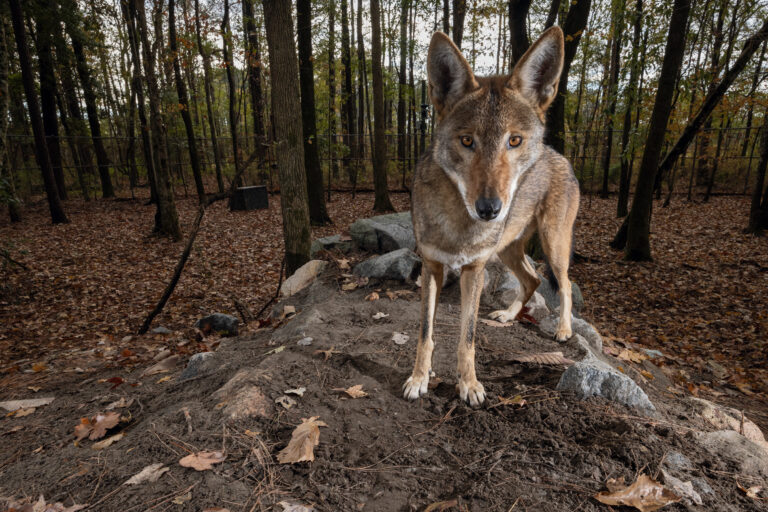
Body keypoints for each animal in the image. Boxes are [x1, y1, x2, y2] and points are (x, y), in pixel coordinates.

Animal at [404, 27, 580, 406]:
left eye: (514, 140)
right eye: (467, 141)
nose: (489, 209)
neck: (459, 222)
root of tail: (559, 155)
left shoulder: (475, 269)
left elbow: (467, 338)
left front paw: (469, 385)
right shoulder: (431, 266)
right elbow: (425, 333)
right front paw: (419, 379)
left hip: (553, 245)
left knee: (564, 283)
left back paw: (563, 329)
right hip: (509, 249)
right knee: (533, 279)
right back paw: (508, 316)